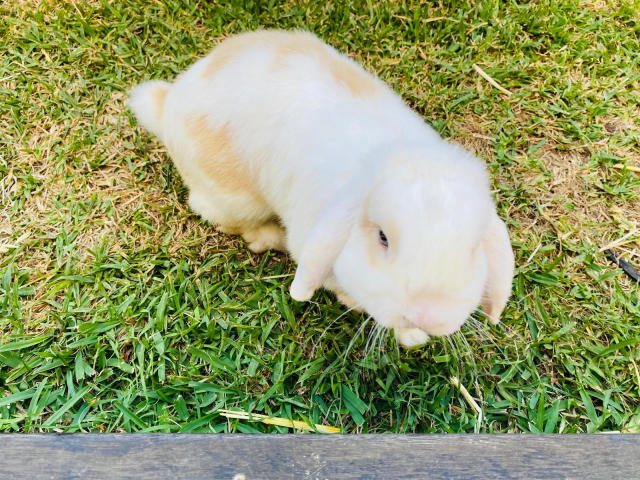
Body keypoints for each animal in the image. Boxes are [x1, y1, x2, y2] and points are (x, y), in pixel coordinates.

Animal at [128, 30, 515, 347]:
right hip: (233, 197)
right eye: (383, 238)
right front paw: (409, 334)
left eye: (474, 247)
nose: (429, 315)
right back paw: (268, 237)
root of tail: (168, 105)